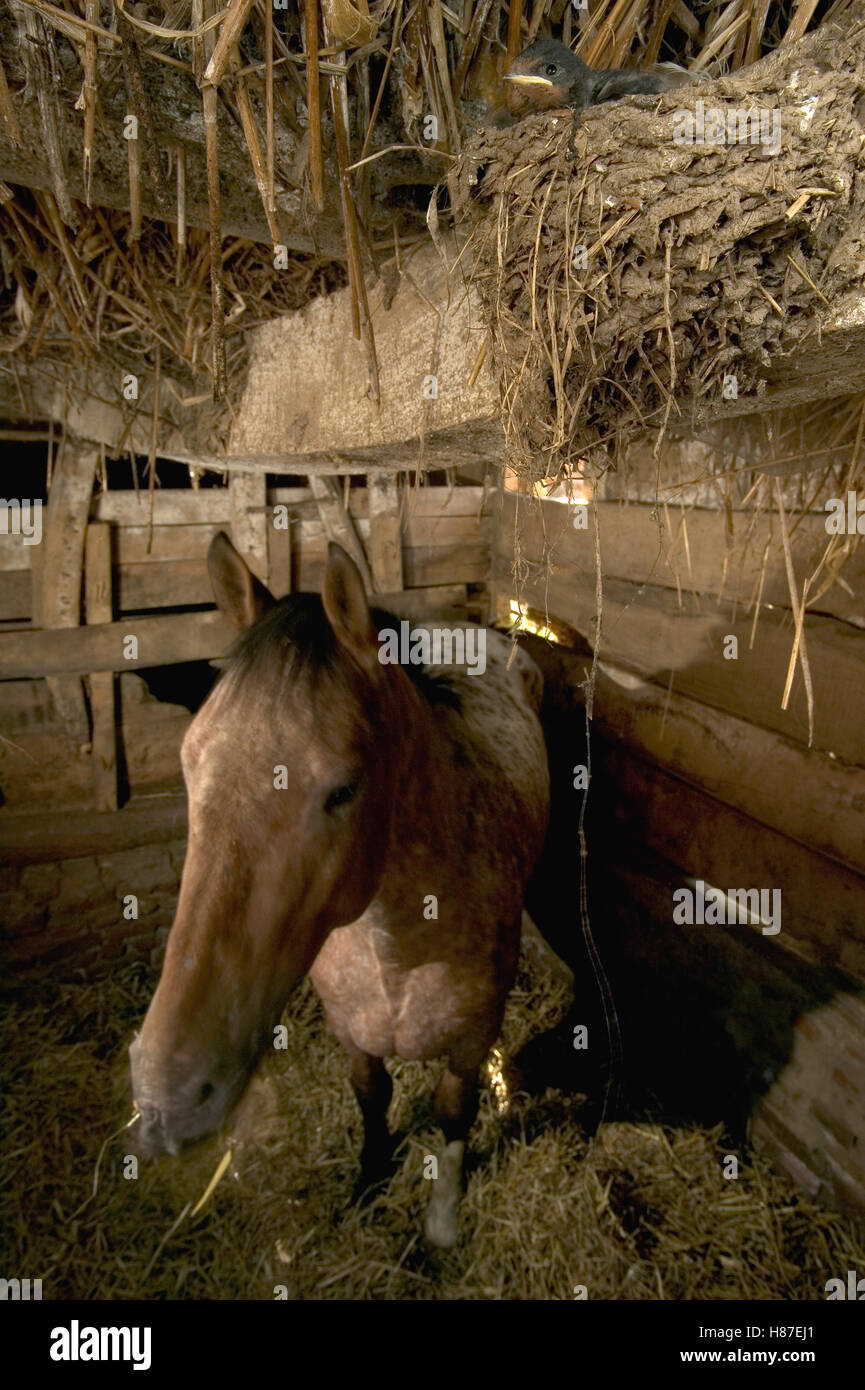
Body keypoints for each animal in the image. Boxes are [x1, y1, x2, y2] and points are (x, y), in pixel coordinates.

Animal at [129, 531, 550, 1248]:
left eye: (343, 789)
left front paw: (441, 1225)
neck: (396, 945)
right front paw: (368, 1183)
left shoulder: (471, 1043)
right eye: (188, 762)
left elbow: (452, 1113)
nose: (170, 1095)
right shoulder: (352, 1032)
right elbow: (371, 1096)